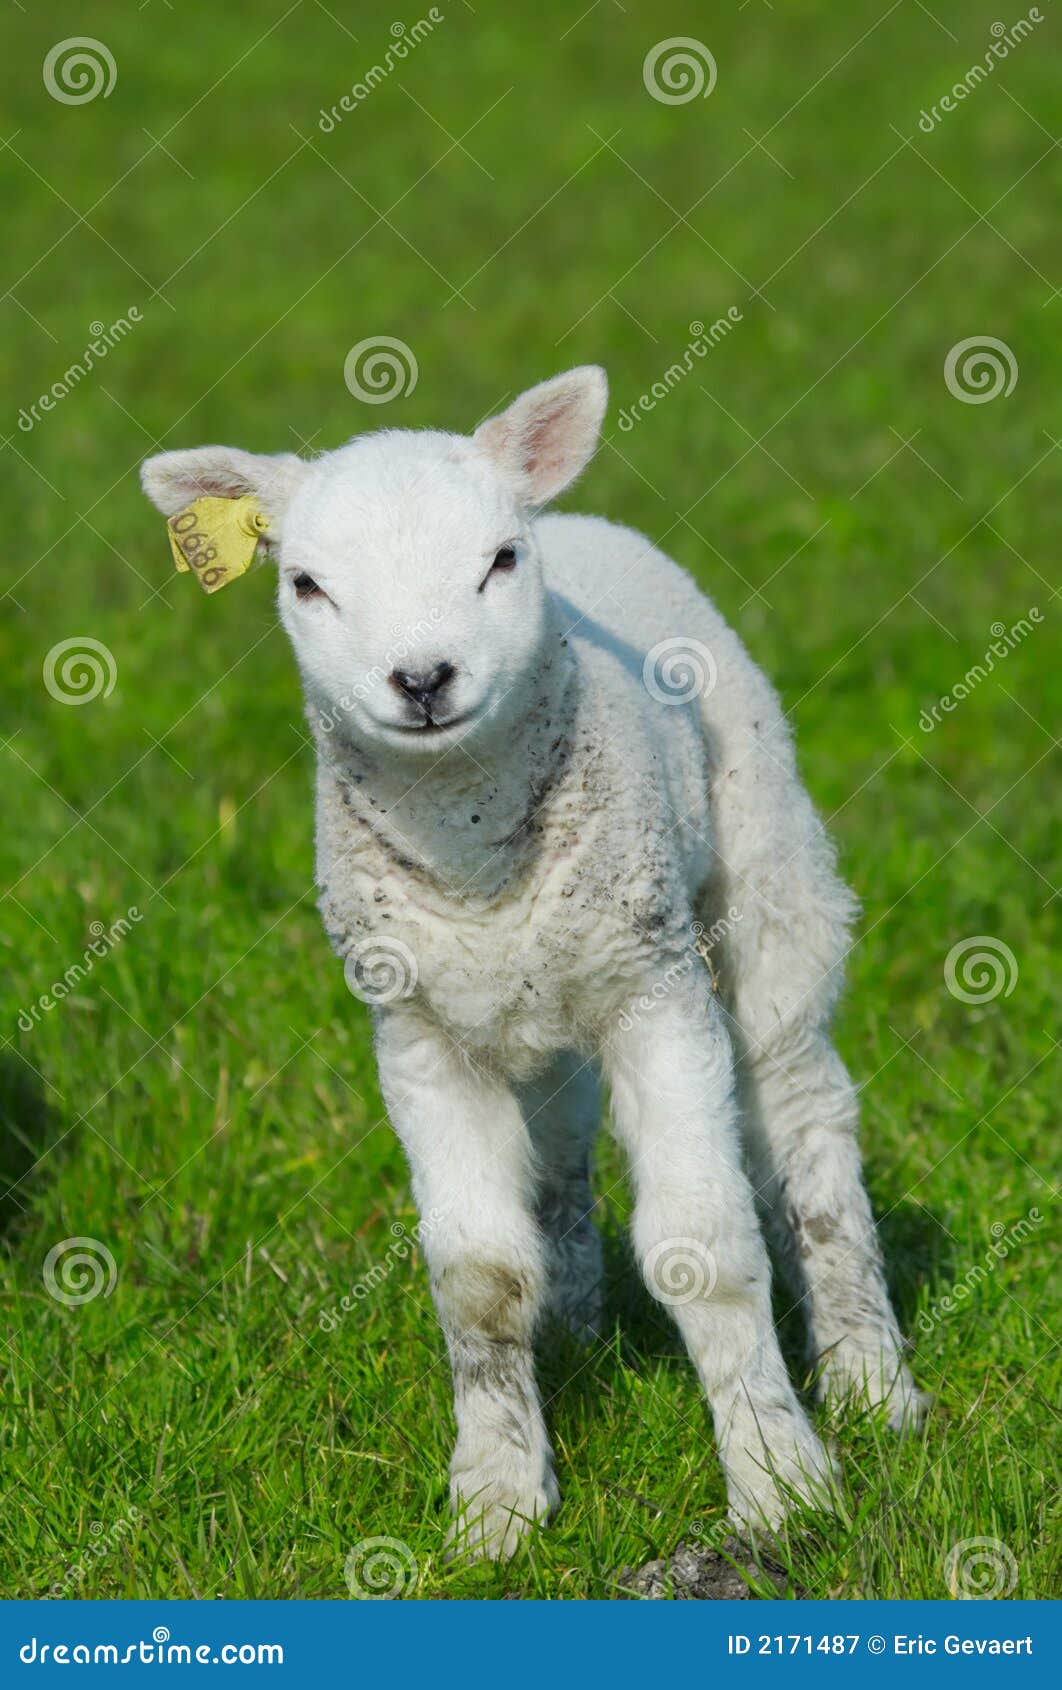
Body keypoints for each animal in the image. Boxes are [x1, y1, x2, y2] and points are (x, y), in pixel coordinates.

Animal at [141, 366, 924, 1561]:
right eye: (307, 584)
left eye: (499, 560)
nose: (422, 678)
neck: (471, 848)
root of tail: (585, 520)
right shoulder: (418, 1034)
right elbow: (477, 1279)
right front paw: (497, 1501)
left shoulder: (657, 990)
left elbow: (704, 1248)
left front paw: (779, 1484)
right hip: (548, 992)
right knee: (560, 1140)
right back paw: (579, 1326)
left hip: (759, 872)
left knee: (804, 1111)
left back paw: (870, 1379)